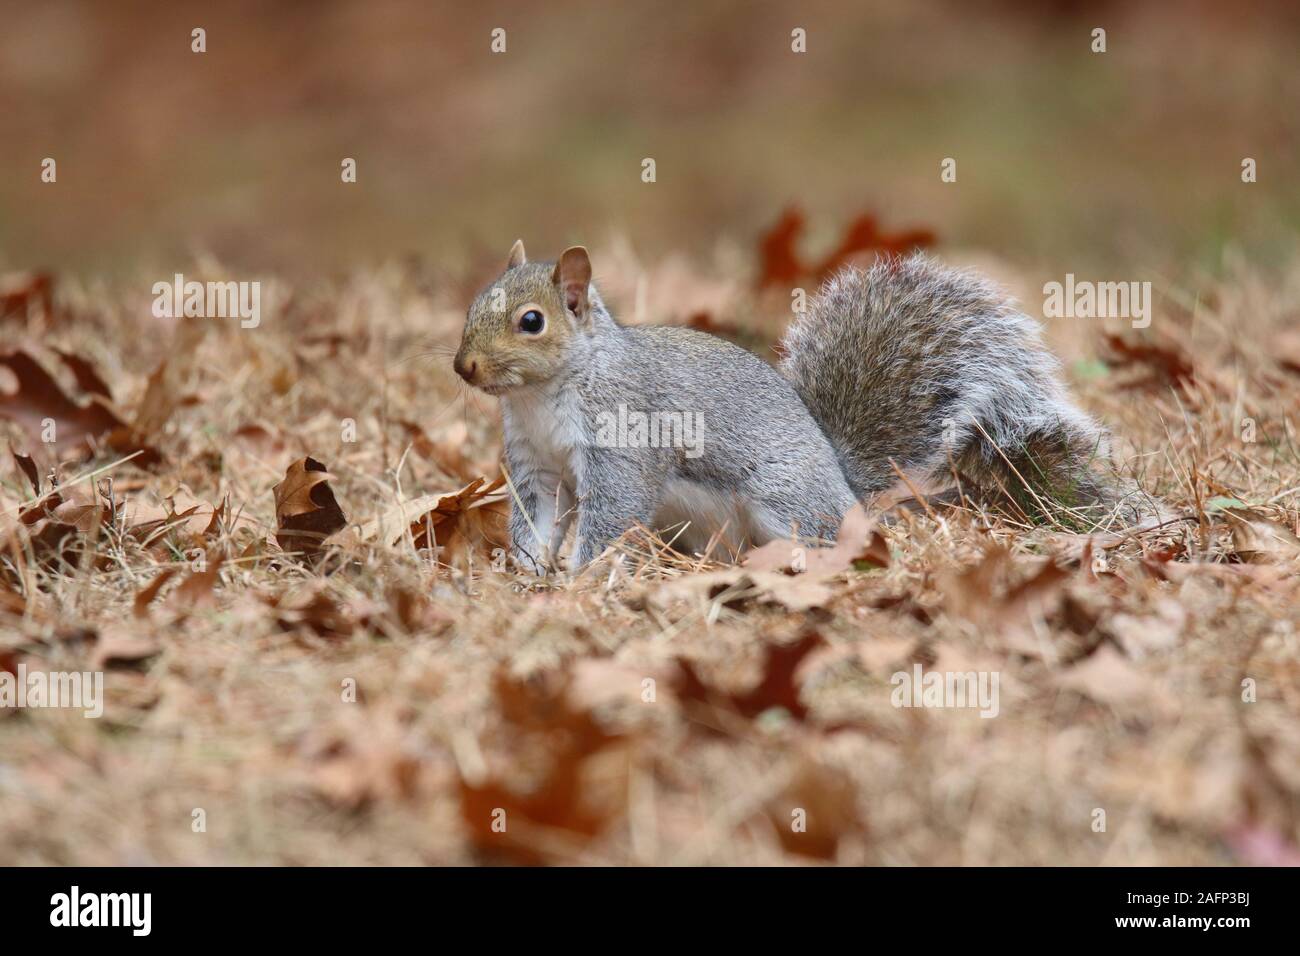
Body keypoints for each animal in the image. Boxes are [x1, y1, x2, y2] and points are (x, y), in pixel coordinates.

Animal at [453, 240, 1152, 573]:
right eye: (473, 304)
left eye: (532, 321)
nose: (464, 368)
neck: (542, 398)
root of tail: (845, 486)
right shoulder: (536, 465)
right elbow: (535, 517)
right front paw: (527, 573)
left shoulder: (621, 444)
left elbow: (610, 514)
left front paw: (576, 575)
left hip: (783, 500)